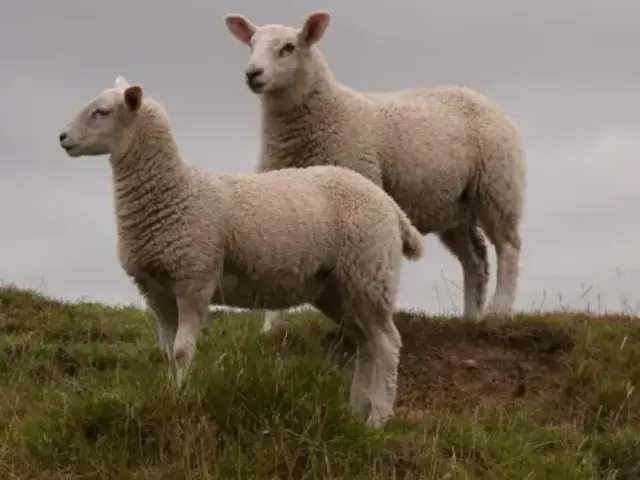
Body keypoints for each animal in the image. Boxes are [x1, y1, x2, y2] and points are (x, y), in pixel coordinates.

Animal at [56, 77, 424, 430]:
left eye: (101, 112)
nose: (62, 138)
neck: (174, 192)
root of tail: (388, 205)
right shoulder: (155, 289)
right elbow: (165, 350)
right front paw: (168, 394)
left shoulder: (195, 279)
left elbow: (181, 351)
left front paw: (181, 400)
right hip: (336, 288)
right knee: (367, 343)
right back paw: (356, 412)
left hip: (368, 273)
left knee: (387, 344)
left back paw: (377, 419)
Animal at [222, 11, 528, 334]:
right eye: (251, 44)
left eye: (288, 48)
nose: (252, 73)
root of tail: (482, 98)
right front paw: (271, 329)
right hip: (452, 206)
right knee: (475, 259)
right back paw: (471, 318)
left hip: (498, 185)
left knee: (508, 247)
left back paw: (498, 312)